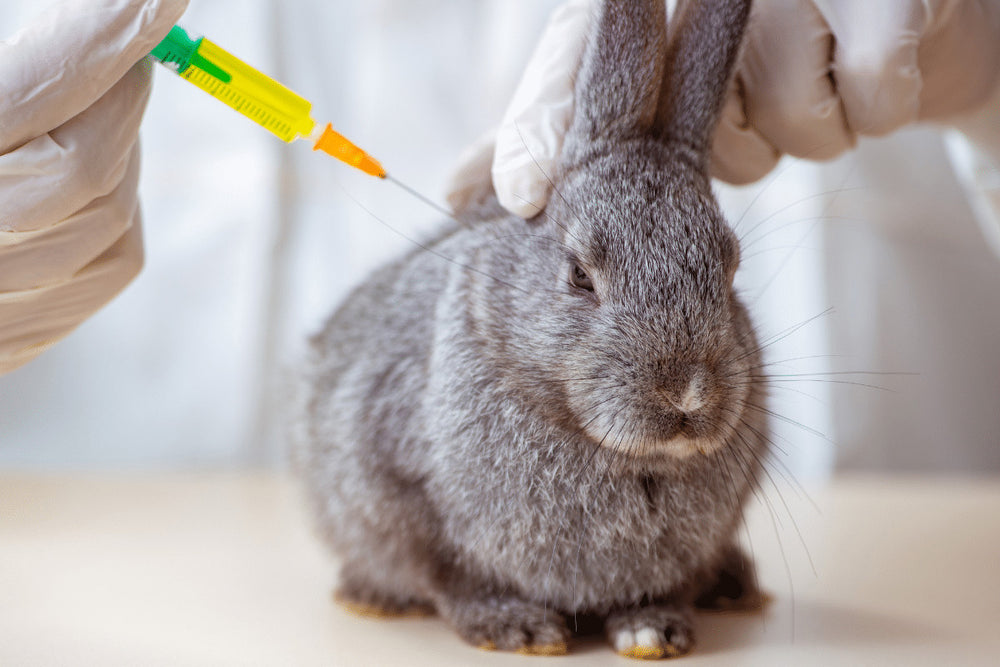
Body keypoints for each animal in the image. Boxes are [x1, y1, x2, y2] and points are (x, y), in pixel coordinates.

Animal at [295, 0, 769, 658]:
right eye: (579, 275)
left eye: (731, 270)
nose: (688, 396)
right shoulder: (397, 485)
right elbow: (448, 572)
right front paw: (517, 628)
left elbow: (664, 586)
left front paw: (654, 630)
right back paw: (371, 598)